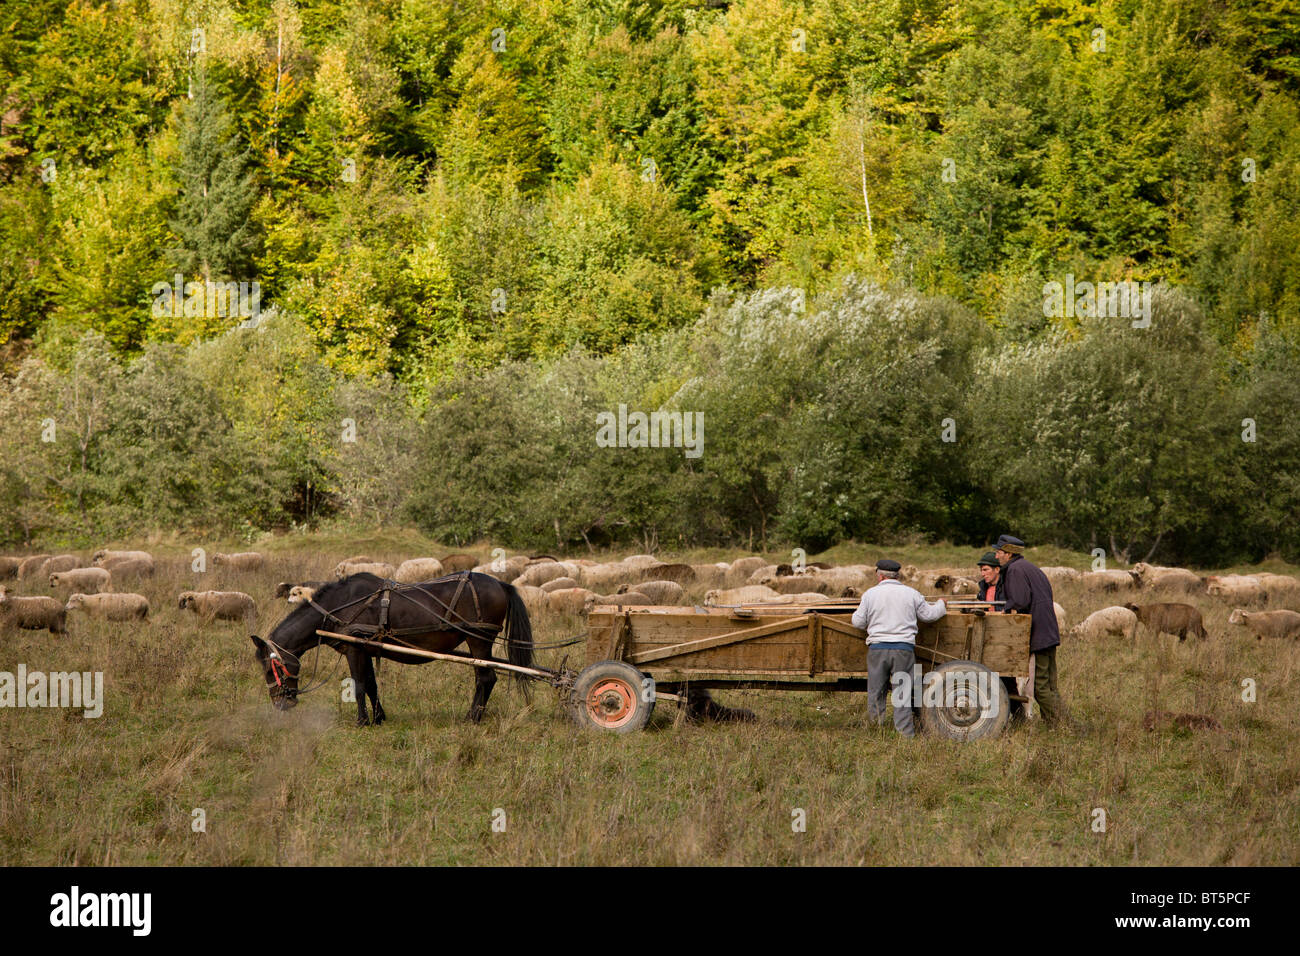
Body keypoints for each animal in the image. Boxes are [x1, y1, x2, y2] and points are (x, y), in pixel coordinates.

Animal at [249, 571, 533, 726]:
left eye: (269, 669)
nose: (281, 705)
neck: (337, 606)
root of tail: (501, 584)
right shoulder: (365, 649)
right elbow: (372, 685)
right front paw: (378, 718)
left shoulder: (355, 649)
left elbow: (359, 685)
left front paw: (362, 721)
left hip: (479, 640)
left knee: (486, 678)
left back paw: (472, 717)